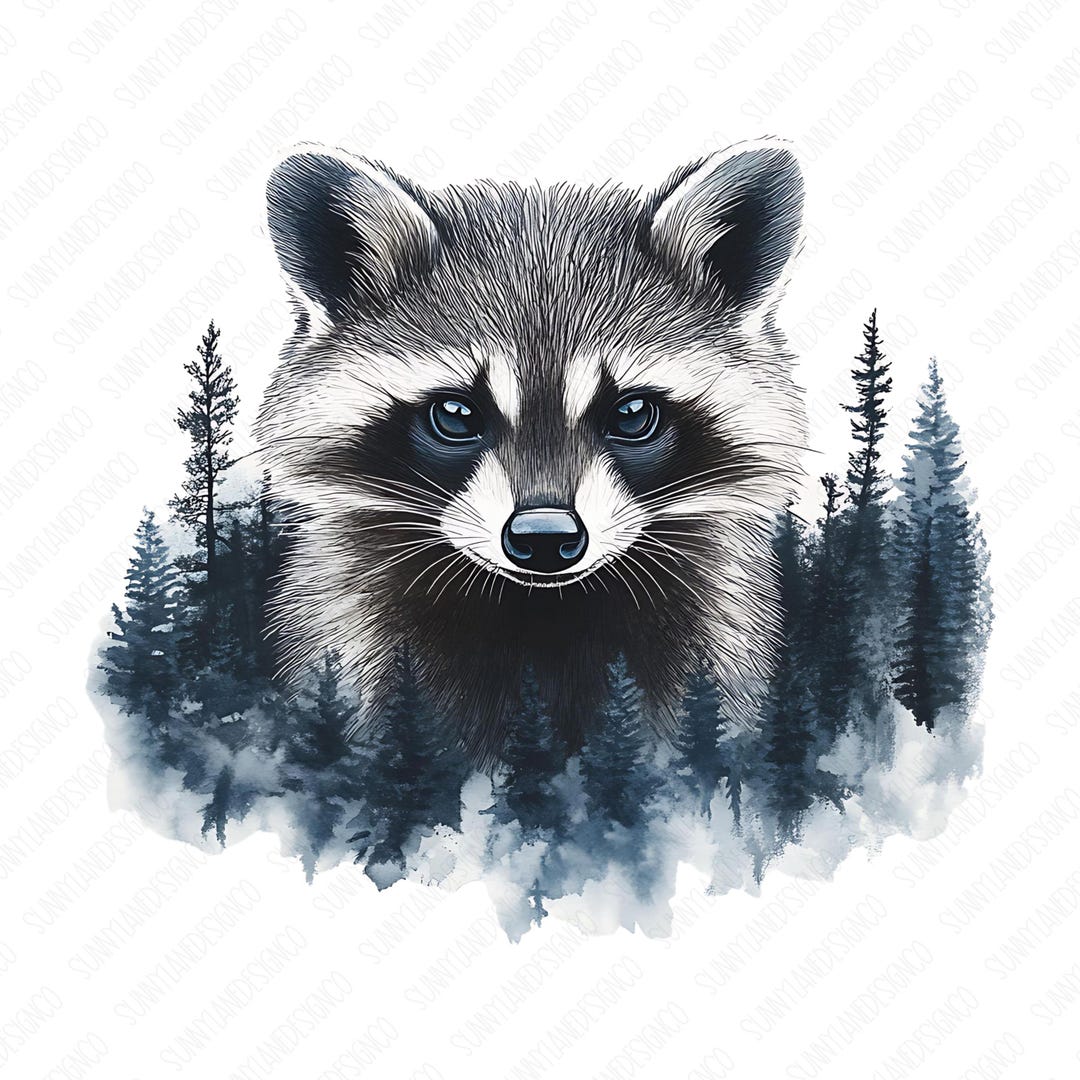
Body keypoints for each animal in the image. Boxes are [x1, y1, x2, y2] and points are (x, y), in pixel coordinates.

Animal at [256, 138, 807, 765]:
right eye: (456, 414)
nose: (544, 537)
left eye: (631, 415)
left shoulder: (711, 623)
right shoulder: (350, 617)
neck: (543, 608)